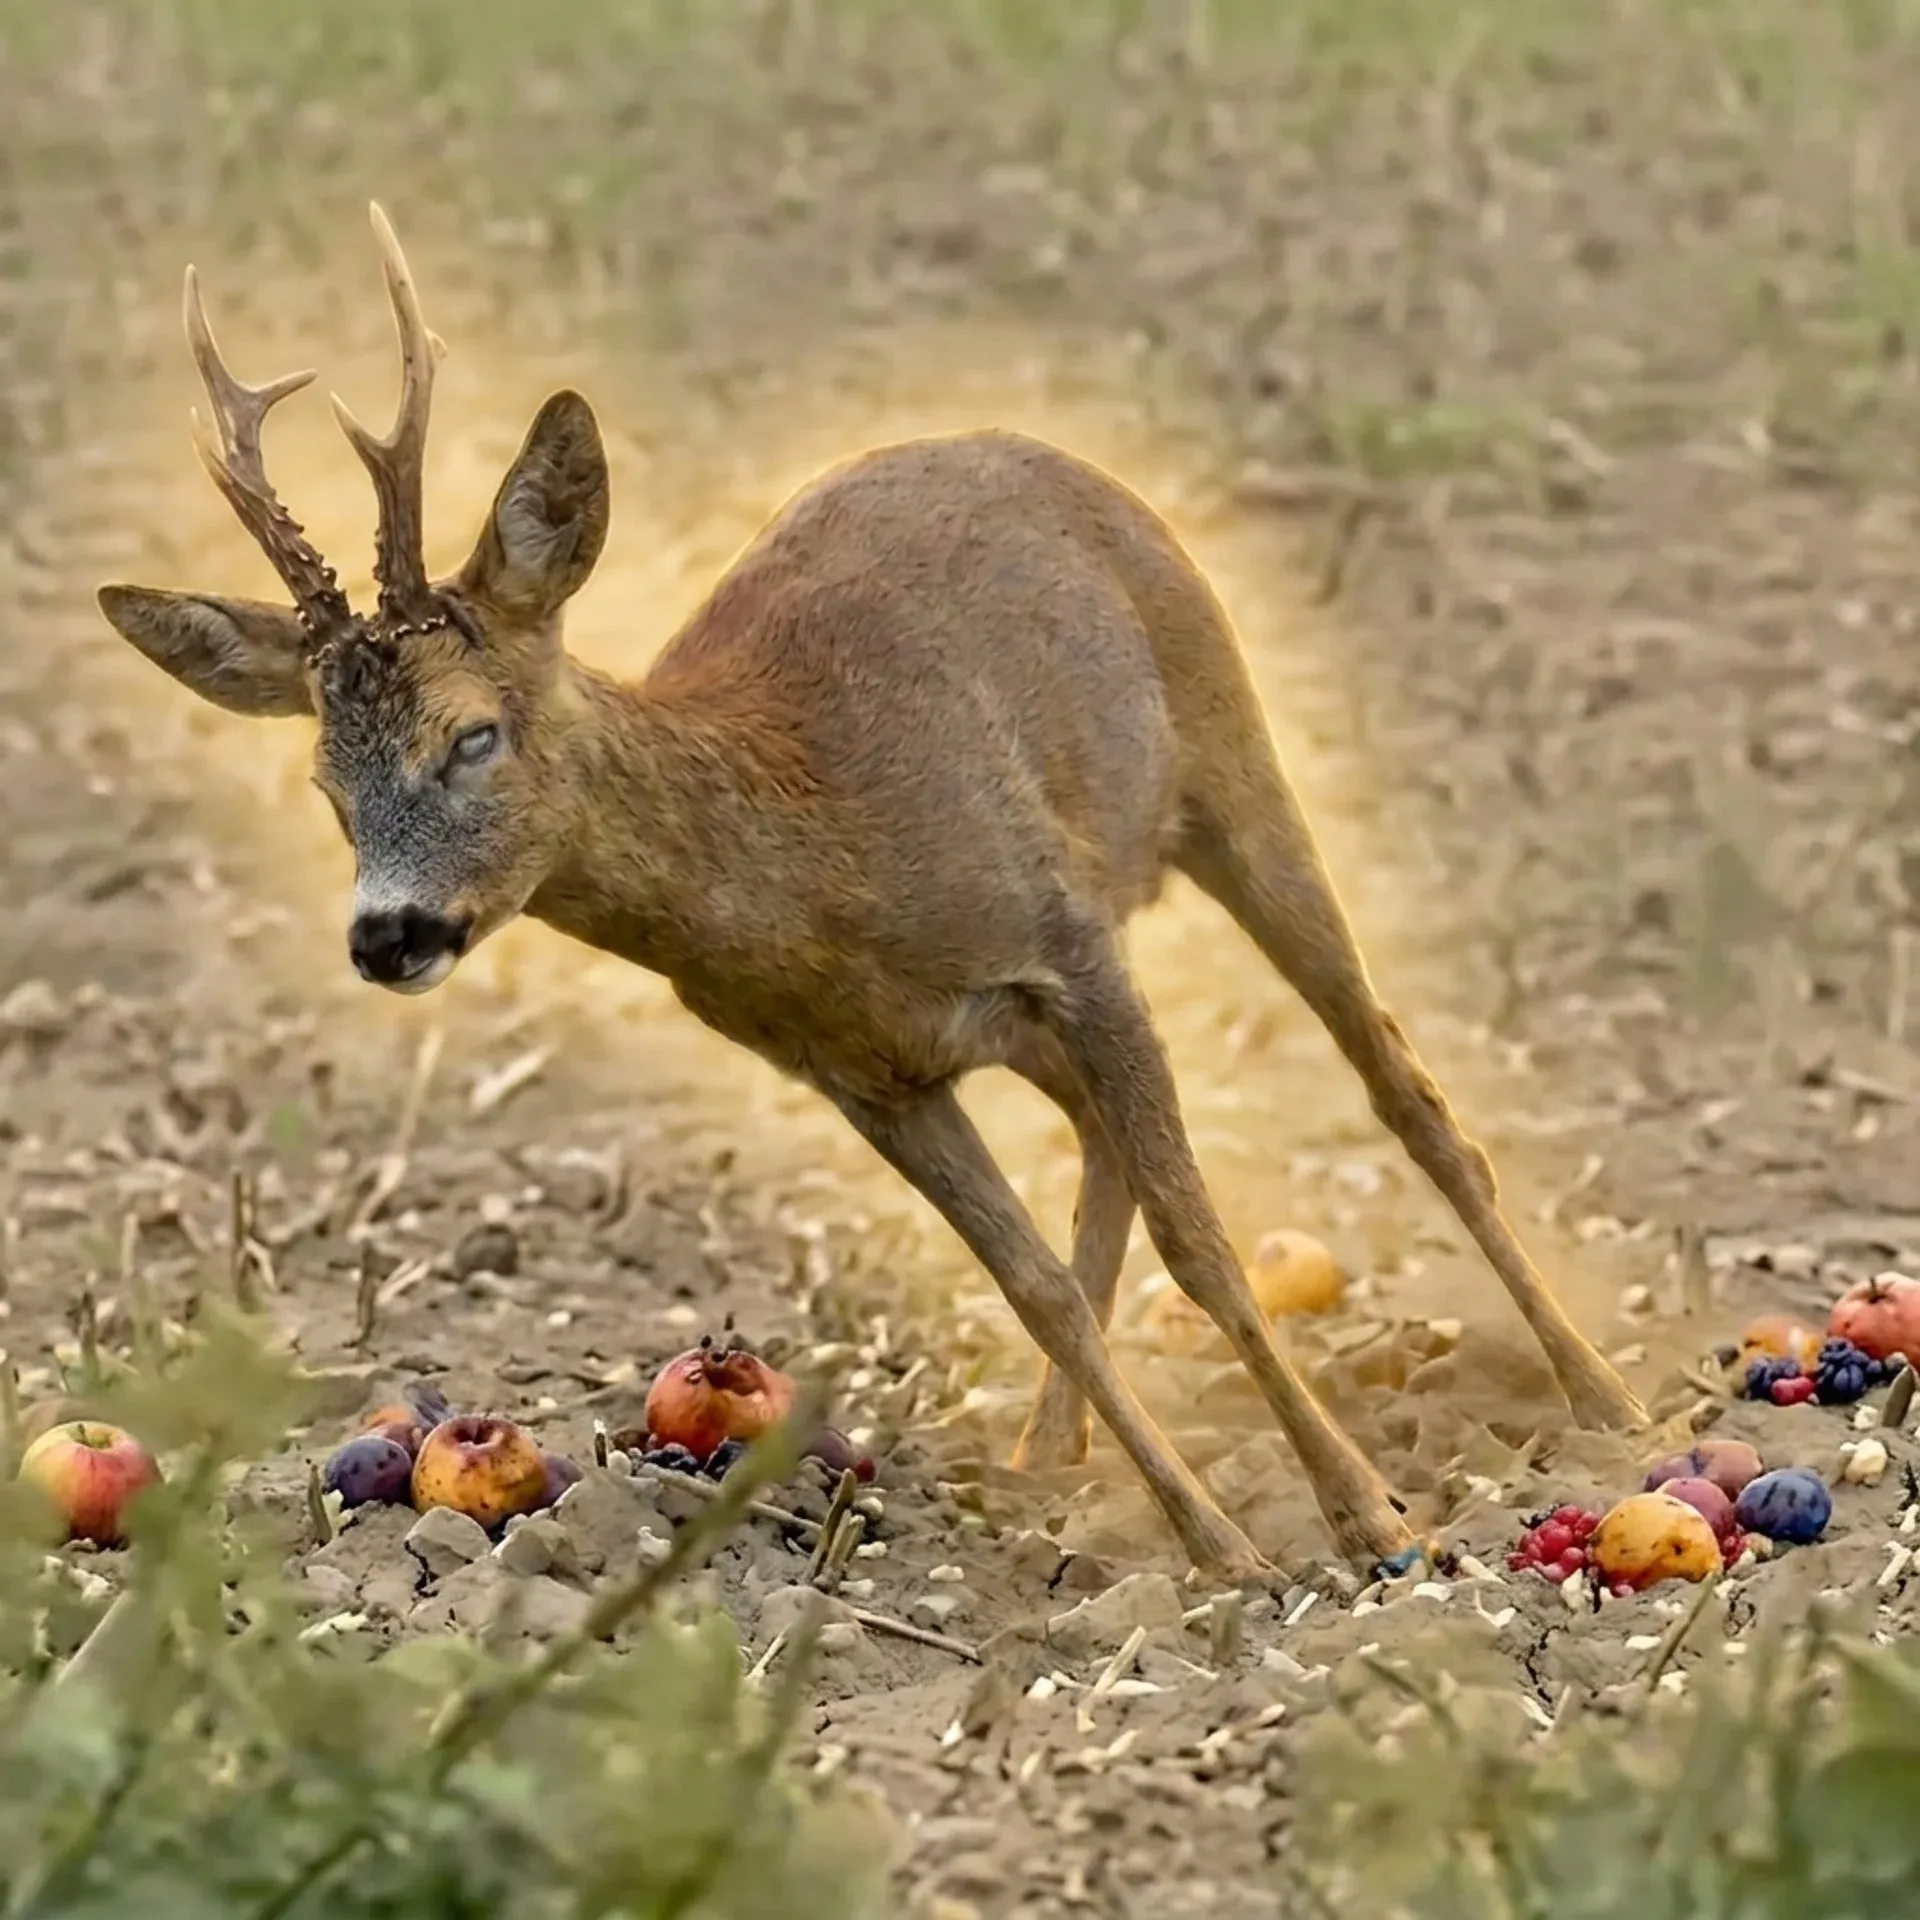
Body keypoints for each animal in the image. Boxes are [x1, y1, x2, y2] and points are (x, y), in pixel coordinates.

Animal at [95, 205, 1645, 1582]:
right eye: (325, 784)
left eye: (471, 735)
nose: (387, 935)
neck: (814, 860)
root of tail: (1029, 442)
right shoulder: (865, 1073)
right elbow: (1035, 1290)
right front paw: (1219, 1547)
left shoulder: (1067, 945)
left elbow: (1204, 1243)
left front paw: (1371, 1519)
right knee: (1103, 1163)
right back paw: (1050, 1455)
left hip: (1229, 763)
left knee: (1400, 1087)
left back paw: (1603, 1396)